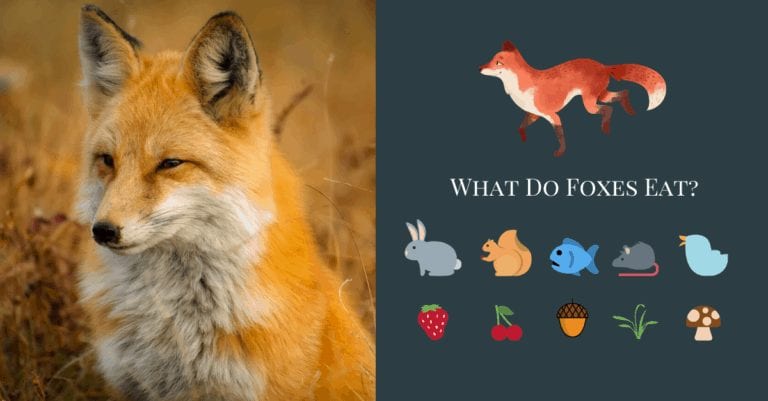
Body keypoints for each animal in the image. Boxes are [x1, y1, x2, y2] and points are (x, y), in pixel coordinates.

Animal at [479, 40, 666, 157]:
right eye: (491, 60)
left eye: (498, 63)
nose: (479, 68)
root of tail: (603, 66)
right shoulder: (534, 114)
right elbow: (521, 127)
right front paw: (523, 139)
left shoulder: (552, 115)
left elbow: (560, 136)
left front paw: (560, 153)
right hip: (601, 95)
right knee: (623, 94)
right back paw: (628, 112)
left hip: (590, 104)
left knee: (608, 108)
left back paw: (606, 129)